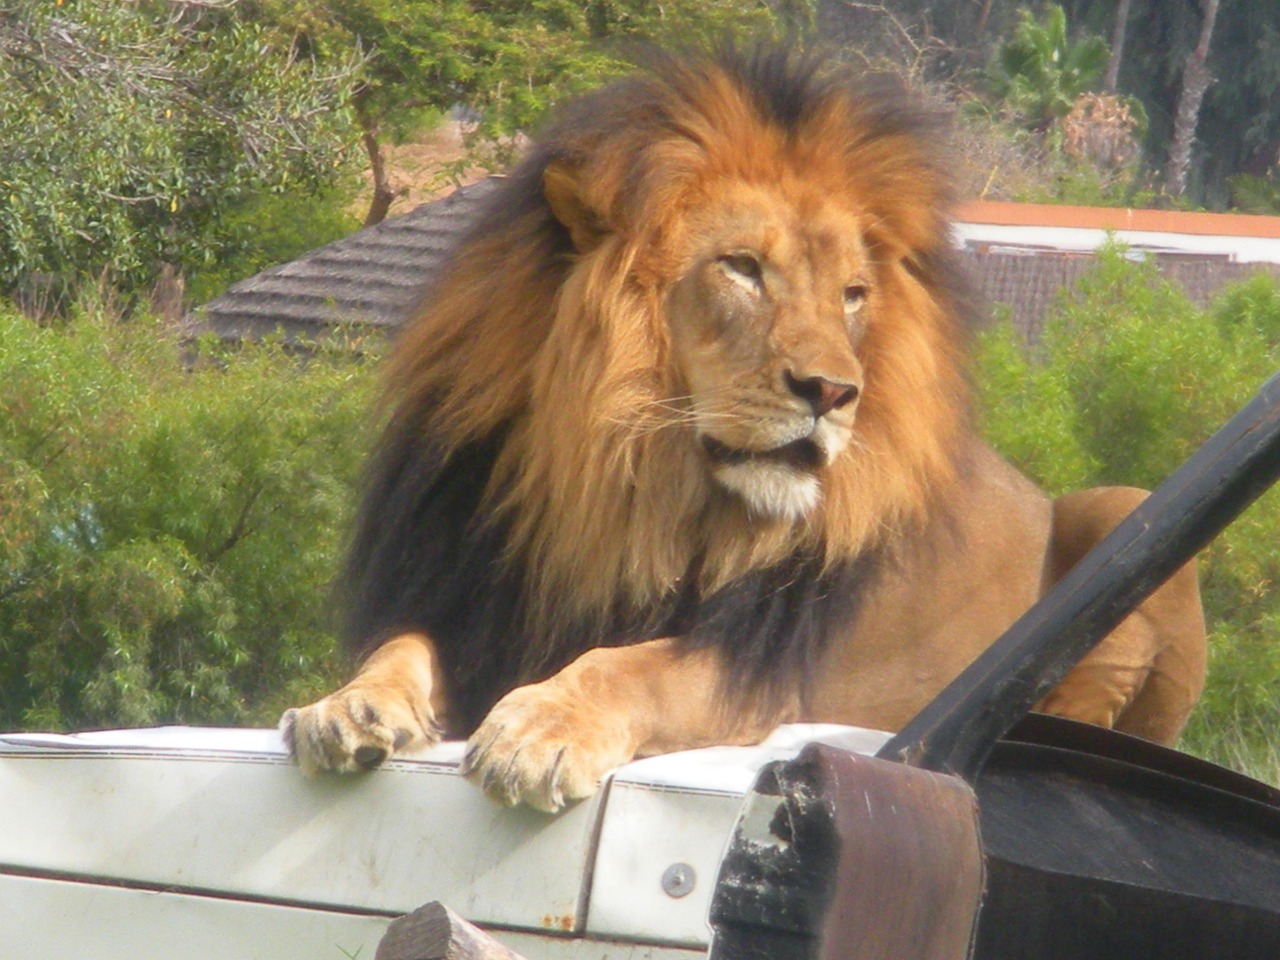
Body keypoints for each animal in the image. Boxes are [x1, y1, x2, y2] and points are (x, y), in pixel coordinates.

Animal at [280, 45, 1206, 812]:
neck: (614, 486)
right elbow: (401, 644)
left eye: (852, 295)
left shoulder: (770, 675)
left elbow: (634, 666)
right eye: (743, 268)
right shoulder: (472, 599)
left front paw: (542, 729)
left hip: (1125, 508)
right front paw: (345, 706)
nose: (832, 390)